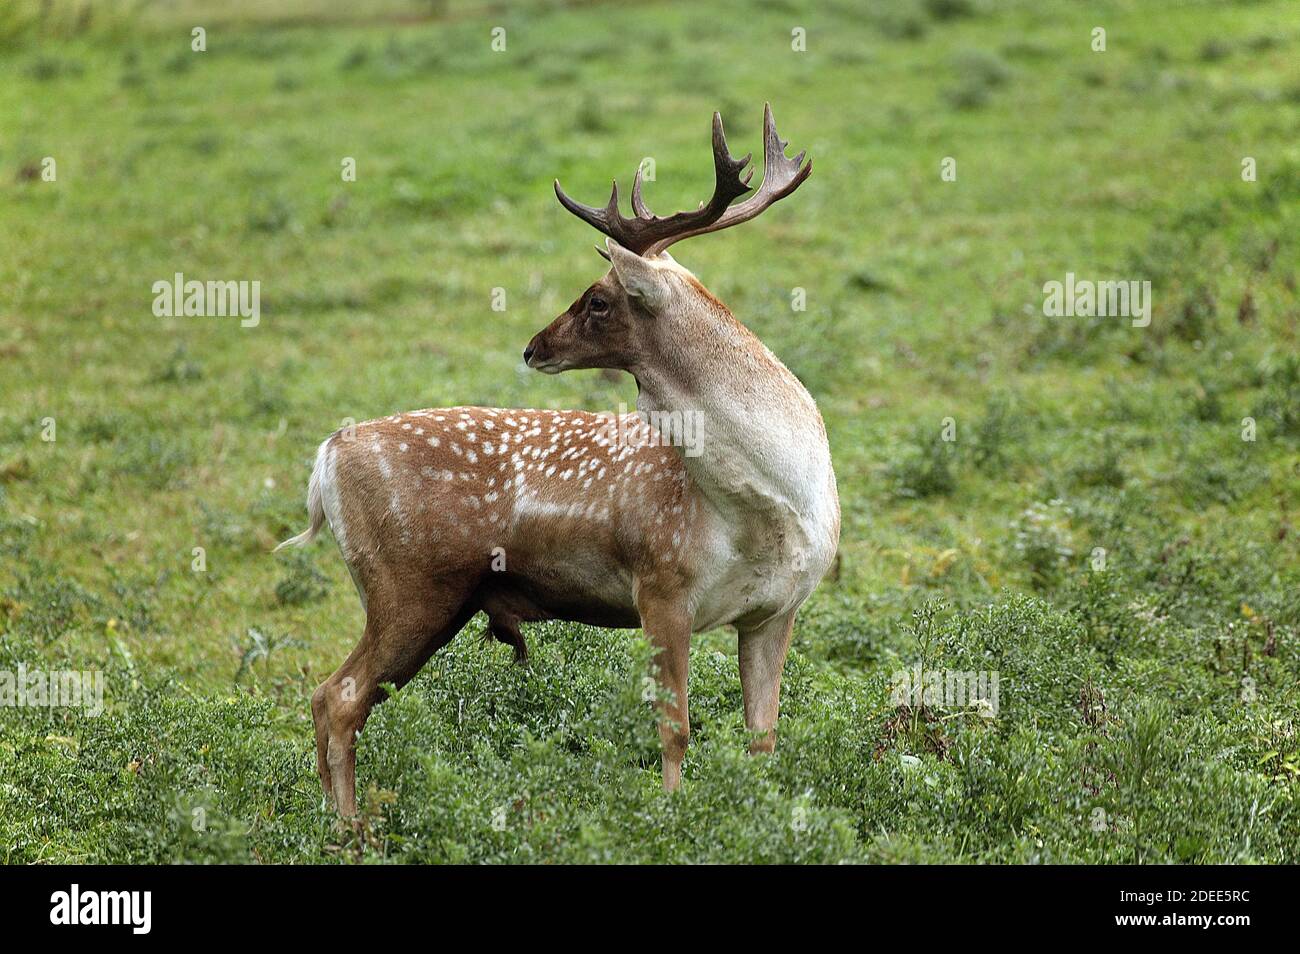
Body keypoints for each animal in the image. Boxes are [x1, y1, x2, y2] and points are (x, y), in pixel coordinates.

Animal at [278, 103, 839, 816]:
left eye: (597, 299)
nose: (532, 346)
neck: (772, 508)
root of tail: (327, 458)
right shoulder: (661, 583)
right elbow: (675, 726)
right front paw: (669, 816)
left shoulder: (777, 609)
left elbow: (762, 735)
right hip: (407, 584)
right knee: (338, 698)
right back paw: (351, 829)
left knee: (331, 697)